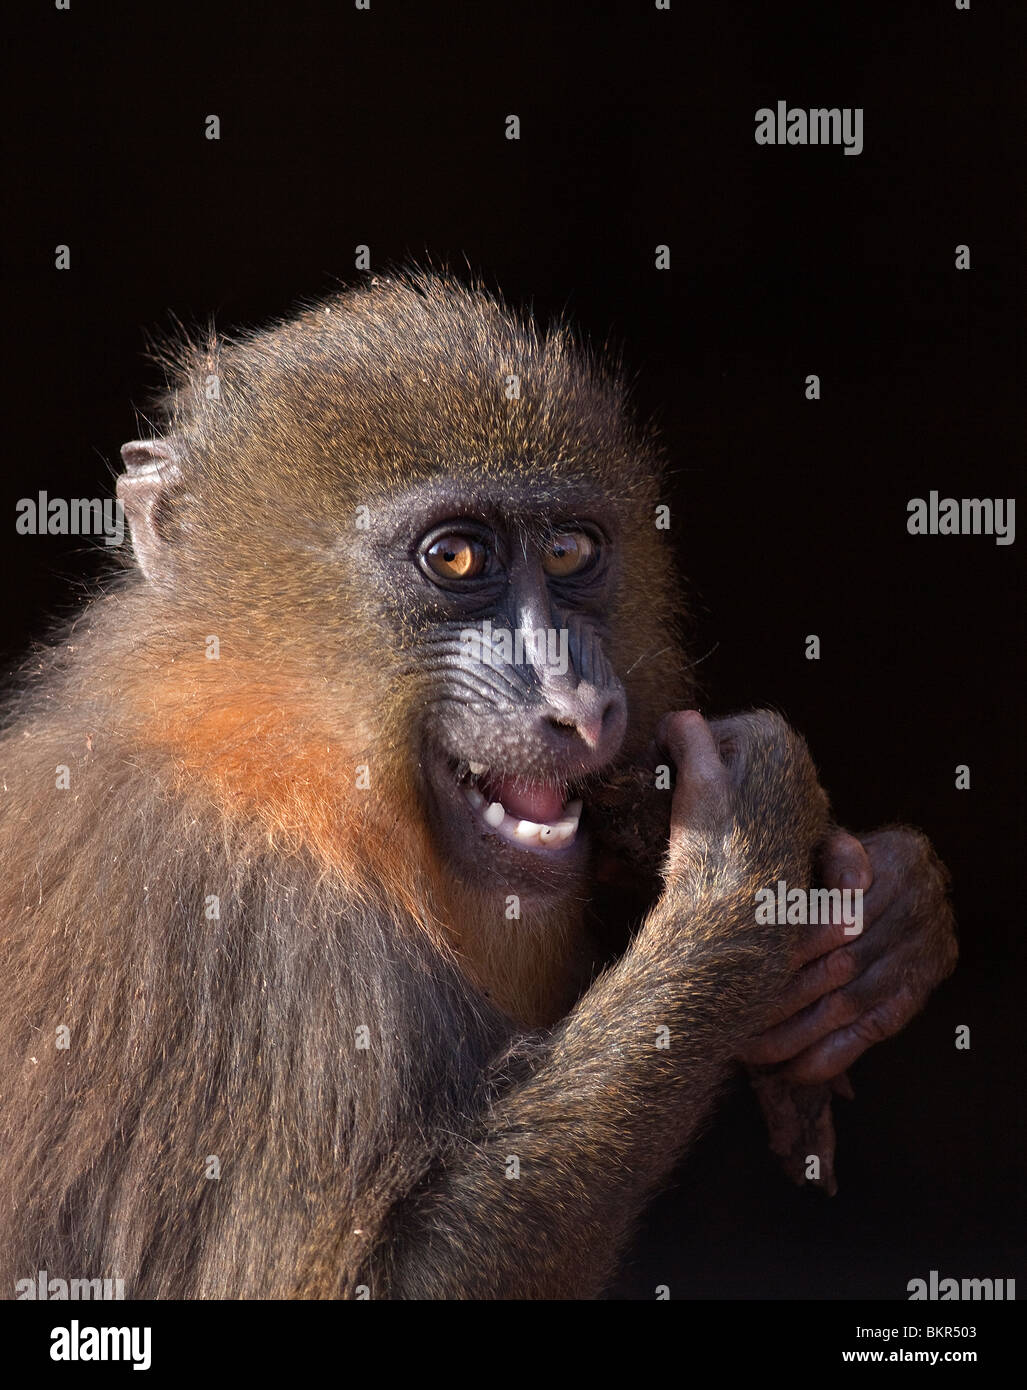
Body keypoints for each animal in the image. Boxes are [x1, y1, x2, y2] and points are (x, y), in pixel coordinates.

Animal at [0, 274, 956, 1299]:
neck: (283, 752)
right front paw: (751, 855)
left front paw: (889, 921)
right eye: (455, 558)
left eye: (570, 553)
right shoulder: (260, 939)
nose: (580, 705)